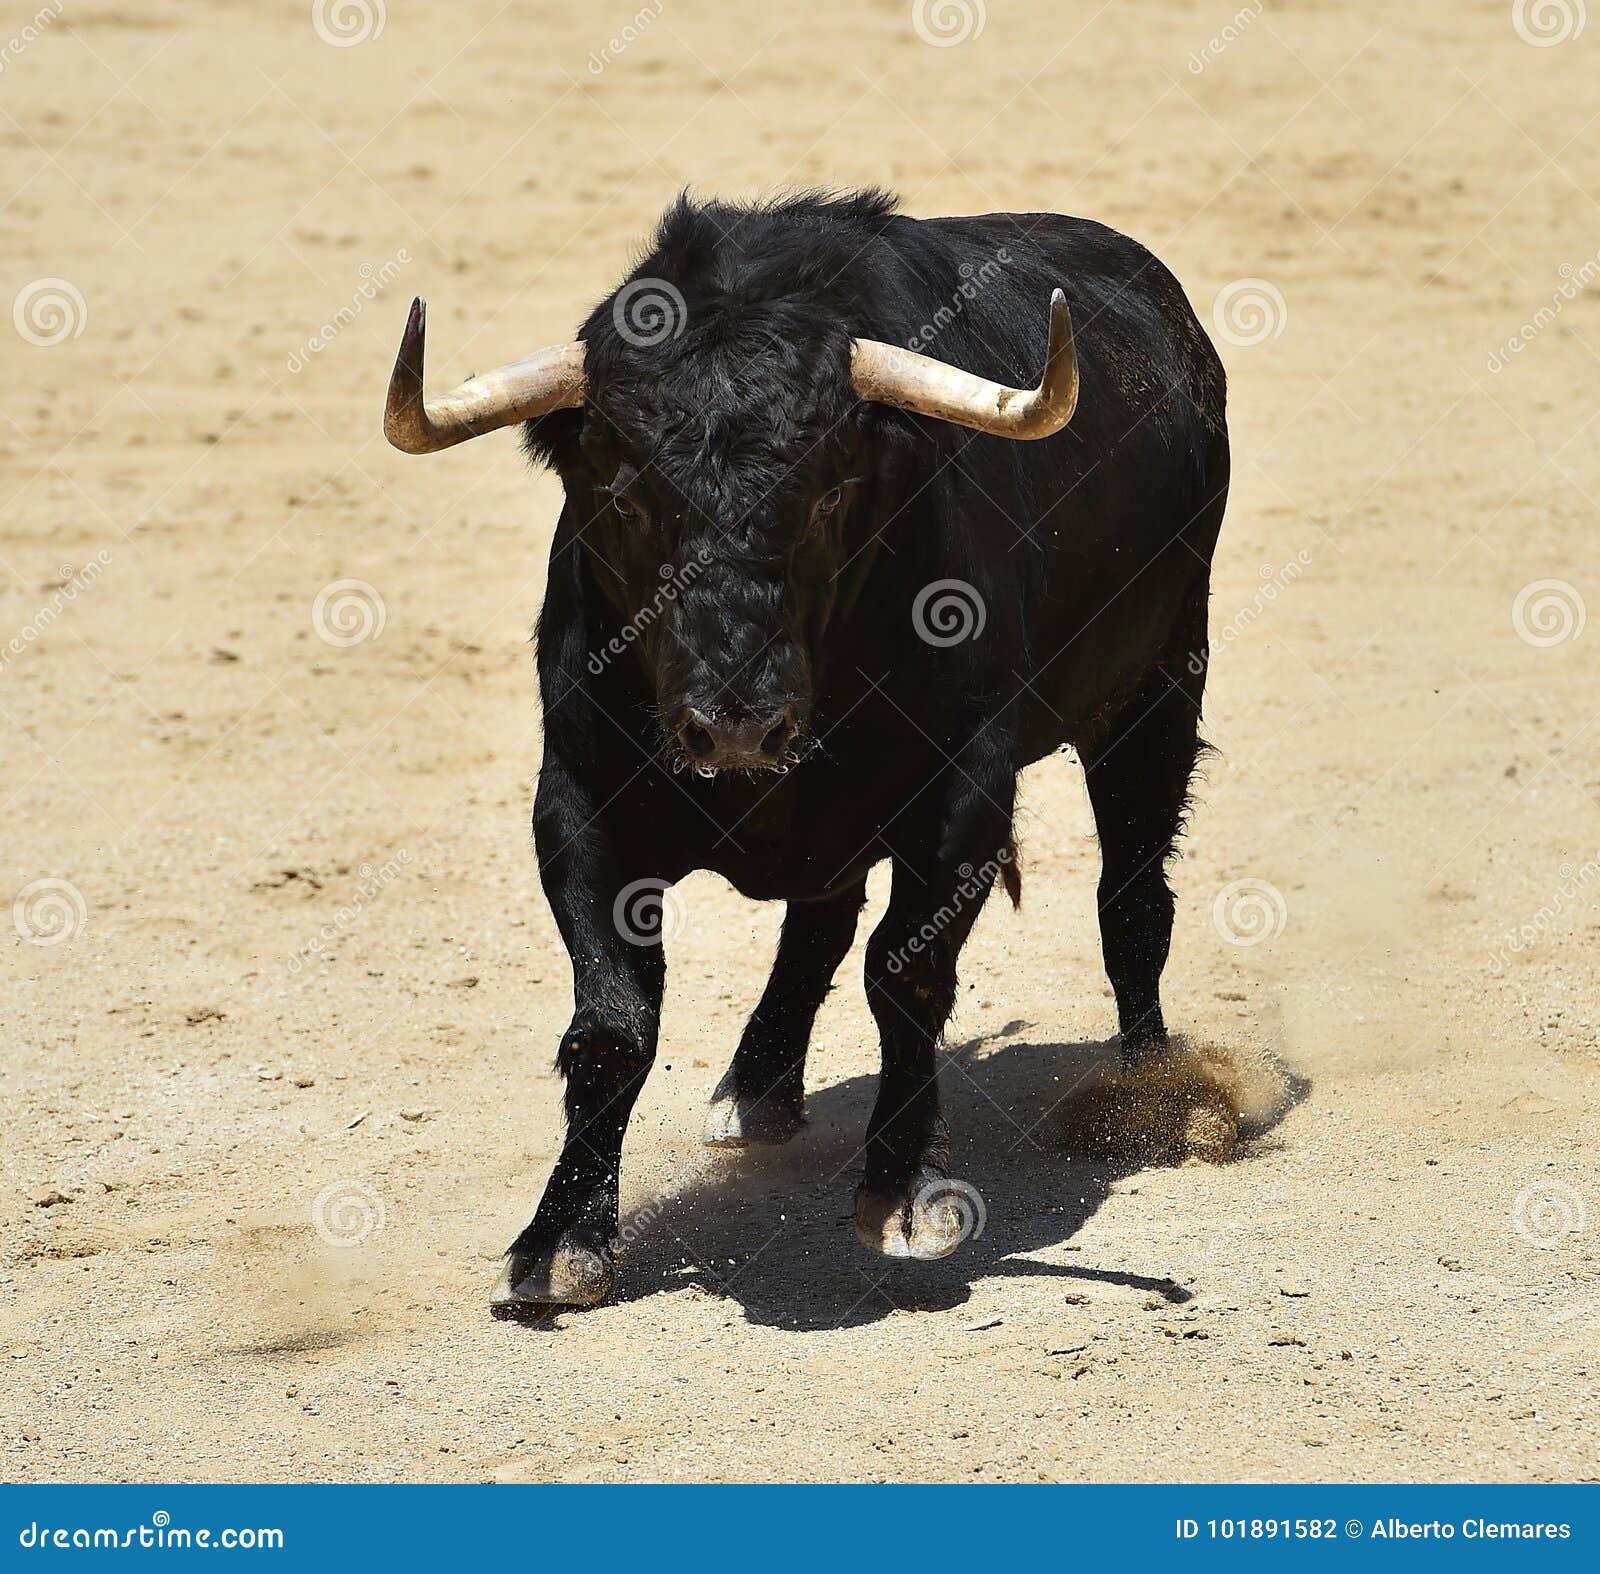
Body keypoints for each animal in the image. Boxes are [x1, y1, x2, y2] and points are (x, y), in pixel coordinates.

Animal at [383, 190, 1230, 1312]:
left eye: (830, 496)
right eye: (625, 498)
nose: (738, 722)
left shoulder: (962, 798)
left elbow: (905, 976)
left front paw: (904, 1193)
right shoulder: (576, 806)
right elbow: (614, 1018)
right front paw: (560, 1238)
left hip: (1158, 684)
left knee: (1131, 895)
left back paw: (1151, 1093)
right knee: (821, 918)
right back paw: (759, 1085)